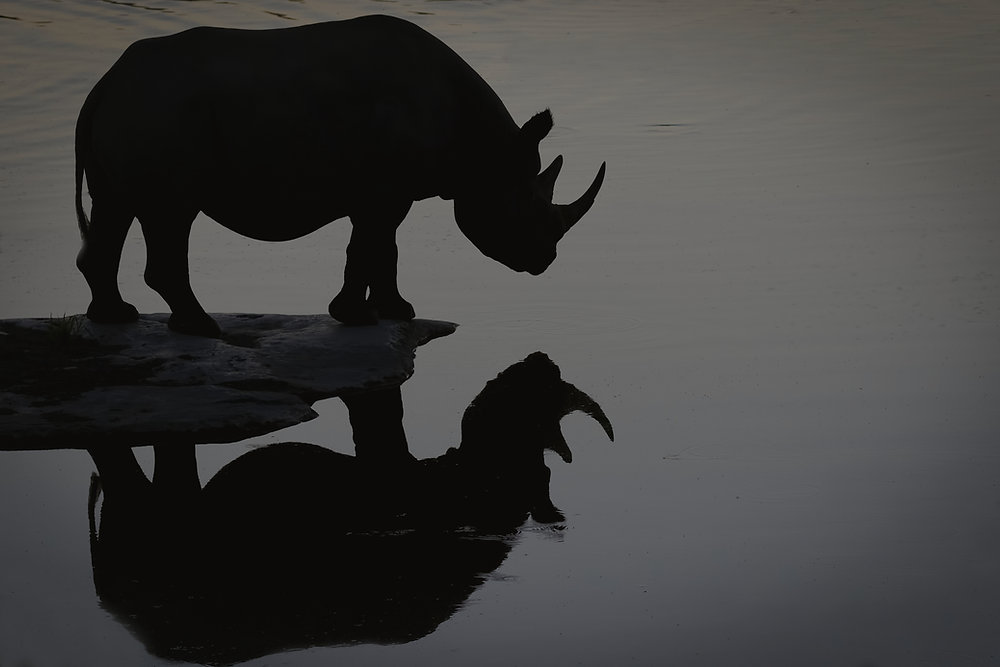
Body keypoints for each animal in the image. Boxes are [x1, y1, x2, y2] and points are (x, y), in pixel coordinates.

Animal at [75, 15, 606, 337]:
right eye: (529, 209)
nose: (545, 260)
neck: (483, 149)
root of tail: (106, 81)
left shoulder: (388, 190)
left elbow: (385, 248)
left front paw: (396, 311)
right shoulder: (384, 190)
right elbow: (370, 245)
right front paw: (357, 315)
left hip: (137, 111)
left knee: (114, 206)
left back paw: (115, 318)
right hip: (159, 114)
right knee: (171, 214)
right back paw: (202, 327)